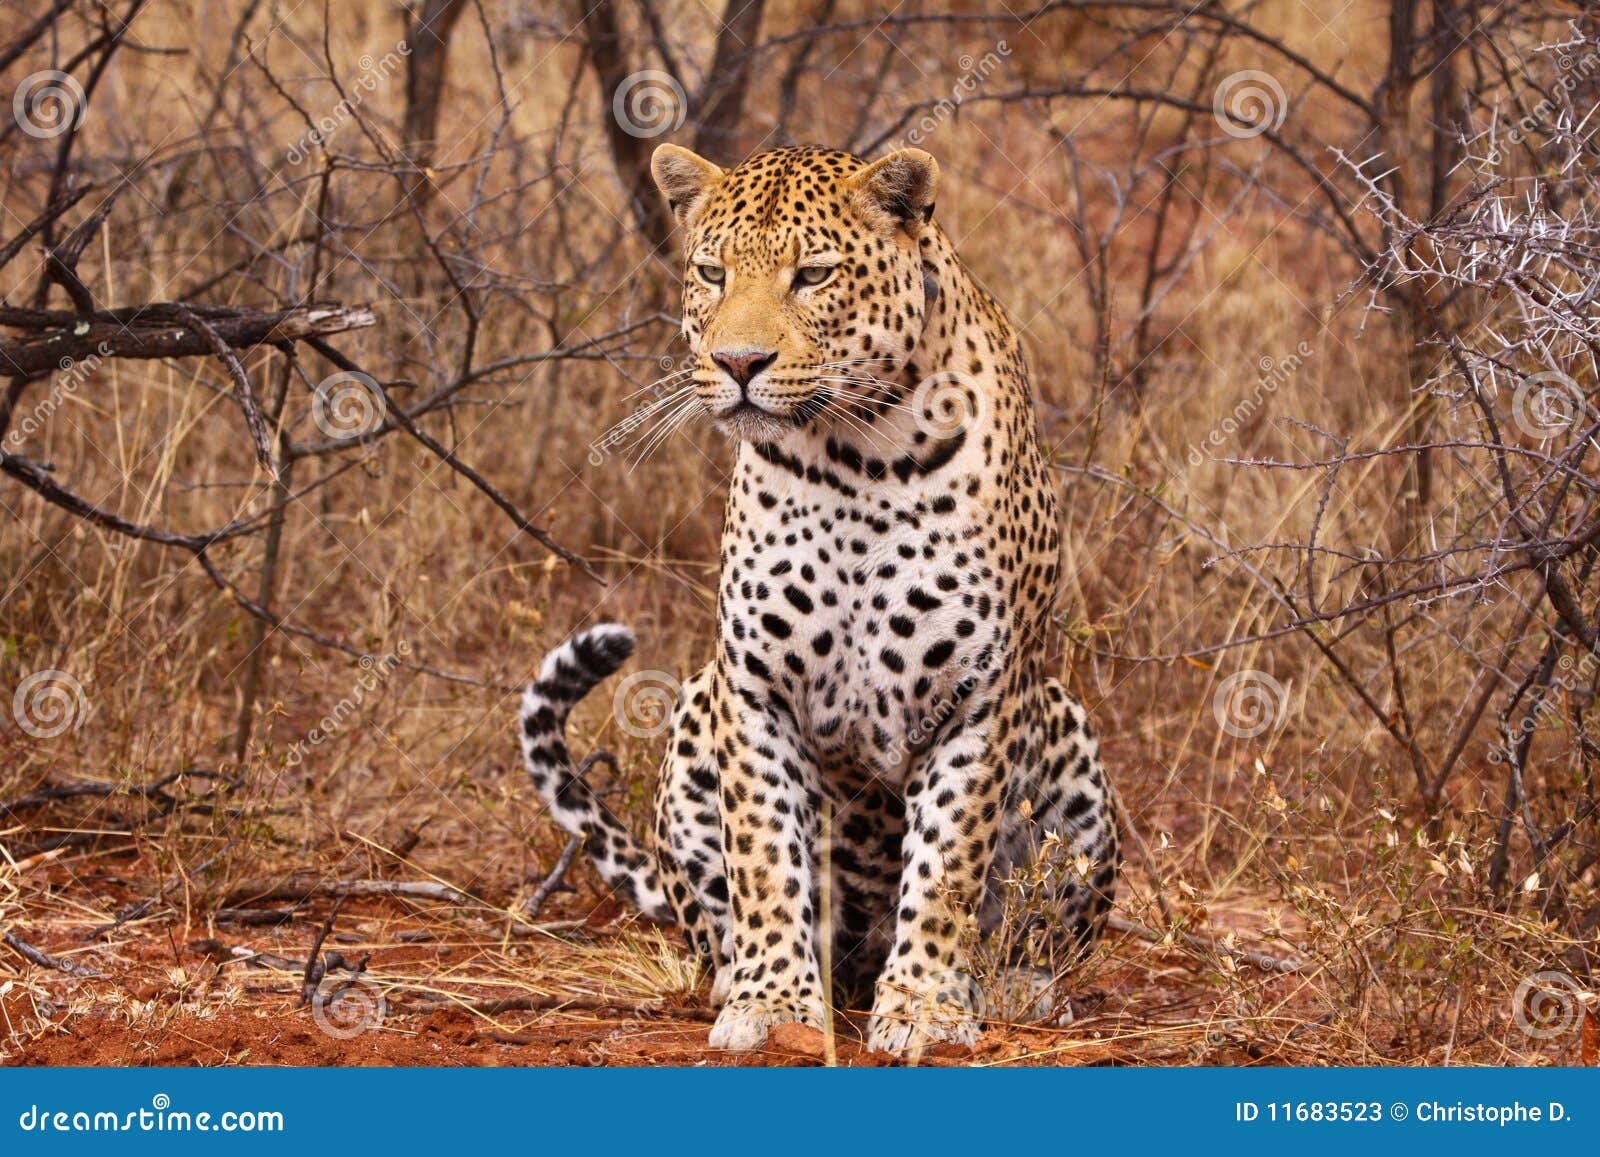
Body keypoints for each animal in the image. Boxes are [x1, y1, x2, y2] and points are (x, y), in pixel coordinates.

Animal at [519, 143, 1118, 1055]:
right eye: (711, 271)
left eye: (813, 274)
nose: (737, 364)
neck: (855, 455)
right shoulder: (756, 688)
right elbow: (765, 856)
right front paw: (769, 1002)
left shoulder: (978, 697)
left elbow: (947, 868)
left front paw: (927, 1006)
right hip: (695, 708)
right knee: (712, 918)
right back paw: (739, 972)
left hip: (1070, 734)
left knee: (1040, 926)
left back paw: (1017, 983)